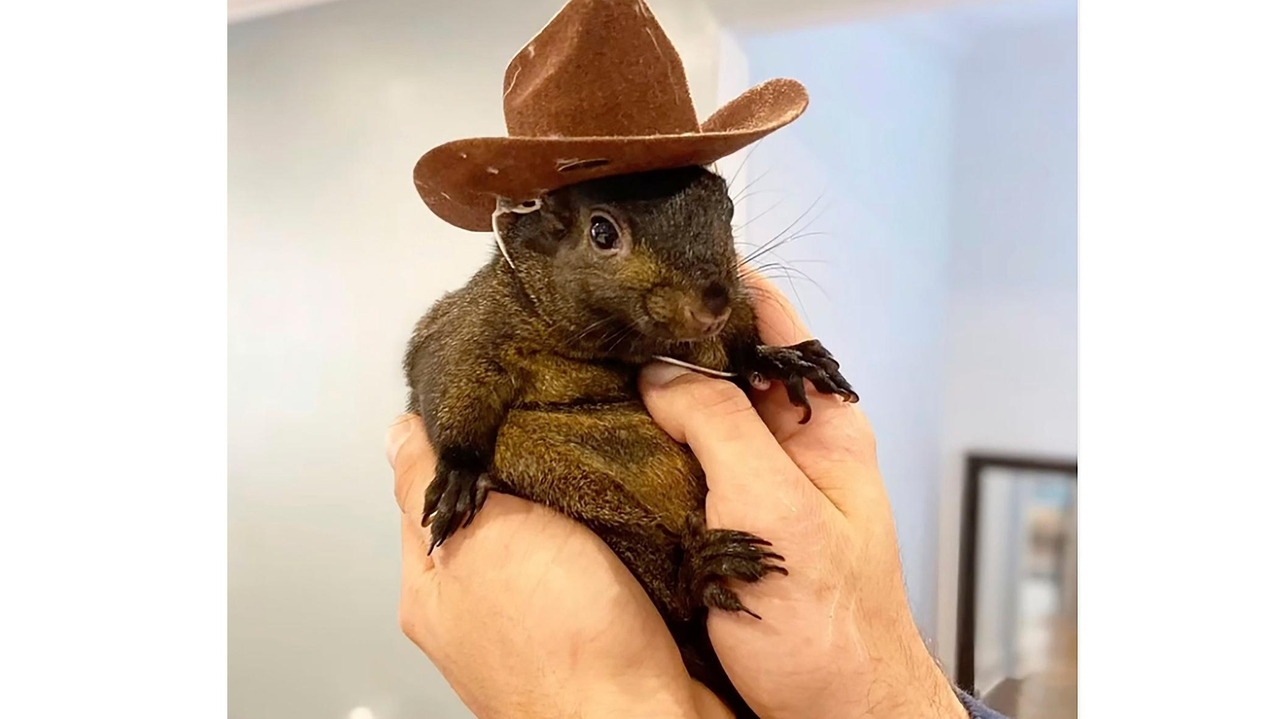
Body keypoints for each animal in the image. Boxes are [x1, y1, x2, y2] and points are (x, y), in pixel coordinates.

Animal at [403, 165, 858, 718]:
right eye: (601, 232)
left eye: (726, 208)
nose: (713, 302)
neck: (621, 345)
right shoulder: (470, 326)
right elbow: (450, 376)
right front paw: (460, 473)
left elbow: (740, 348)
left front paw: (782, 359)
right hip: (582, 497)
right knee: (674, 599)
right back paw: (699, 572)